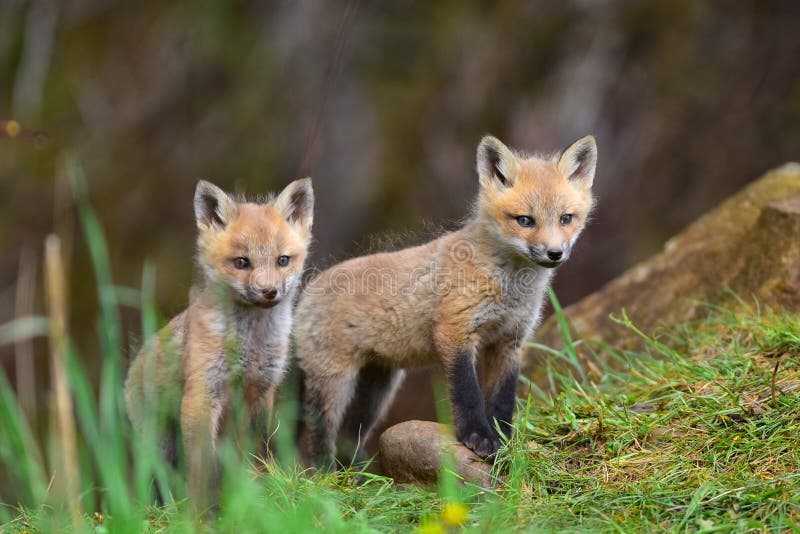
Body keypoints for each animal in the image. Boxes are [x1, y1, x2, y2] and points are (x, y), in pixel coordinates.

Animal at [124, 177, 314, 503]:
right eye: (242, 262)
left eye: (283, 260)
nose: (269, 292)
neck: (252, 346)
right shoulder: (202, 393)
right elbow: (204, 464)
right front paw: (206, 505)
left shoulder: (261, 392)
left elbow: (254, 453)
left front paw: (250, 492)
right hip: (160, 445)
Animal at [294, 135, 597, 466]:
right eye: (525, 221)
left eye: (566, 218)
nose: (555, 253)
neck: (510, 289)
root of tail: (306, 290)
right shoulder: (455, 331)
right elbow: (467, 393)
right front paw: (479, 437)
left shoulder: (510, 341)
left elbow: (503, 400)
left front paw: (504, 442)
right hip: (334, 381)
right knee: (317, 438)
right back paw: (323, 474)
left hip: (378, 386)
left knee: (348, 439)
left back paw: (360, 474)